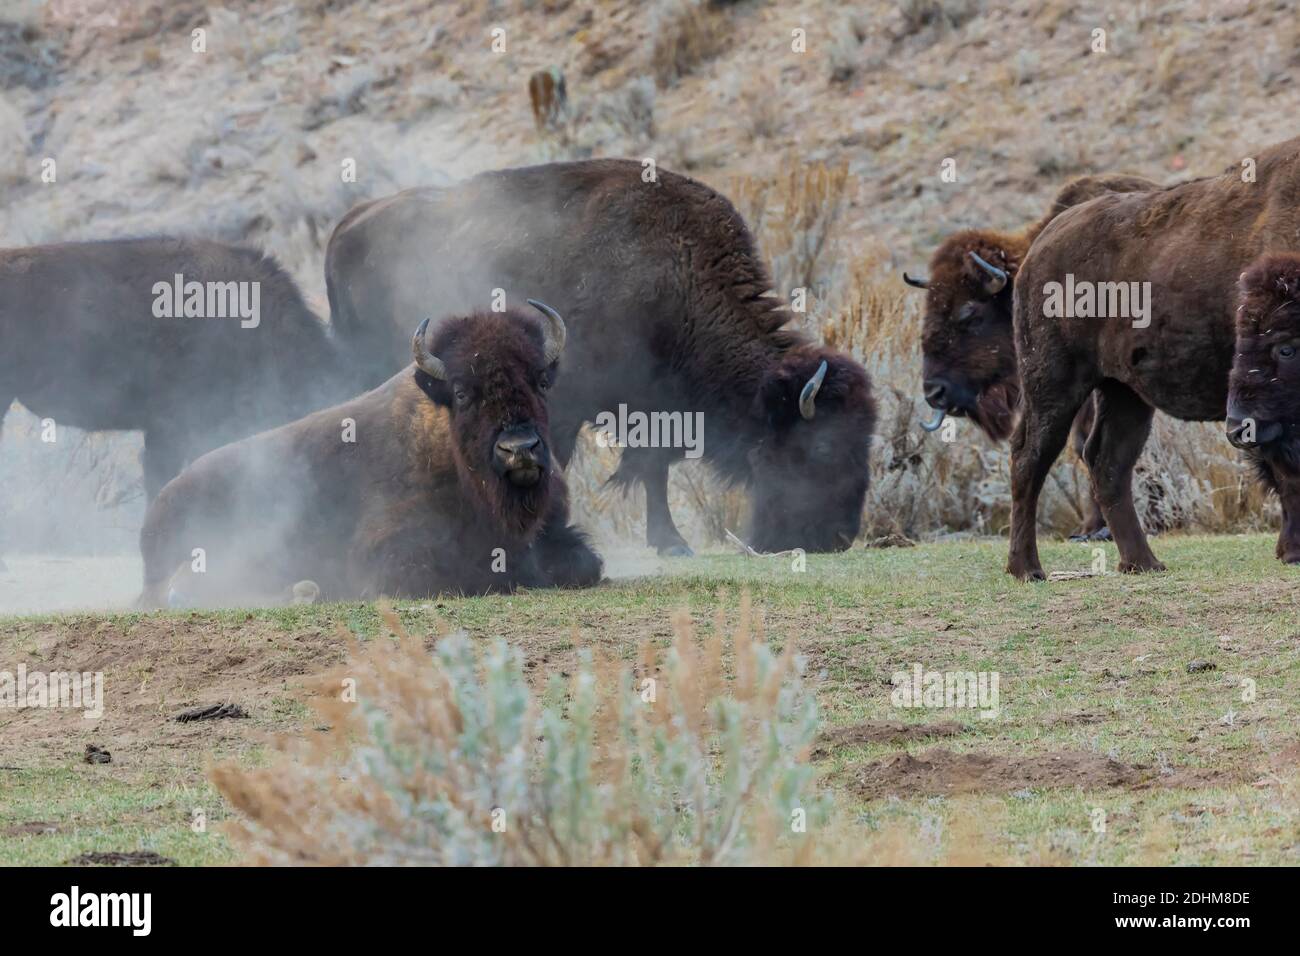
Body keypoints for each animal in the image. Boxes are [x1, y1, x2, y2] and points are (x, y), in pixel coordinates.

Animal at [138, 302, 602, 606]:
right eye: (461, 392)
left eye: (541, 380)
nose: (519, 449)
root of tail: (162, 500)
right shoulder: (389, 553)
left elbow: (584, 563)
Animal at [325, 159, 876, 555]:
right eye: (820, 448)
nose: (838, 537)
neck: (678, 275)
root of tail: (346, 226)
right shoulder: (577, 405)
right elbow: (620, 467)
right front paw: (670, 544)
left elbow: (653, 470)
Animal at [1007, 136, 1300, 580]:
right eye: (1280, 345)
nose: (1234, 426)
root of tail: (1040, 247)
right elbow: (1287, 471)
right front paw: (1293, 551)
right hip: (1052, 385)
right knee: (1030, 459)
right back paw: (1026, 569)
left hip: (1124, 392)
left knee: (1107, 462)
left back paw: (1142, 562)